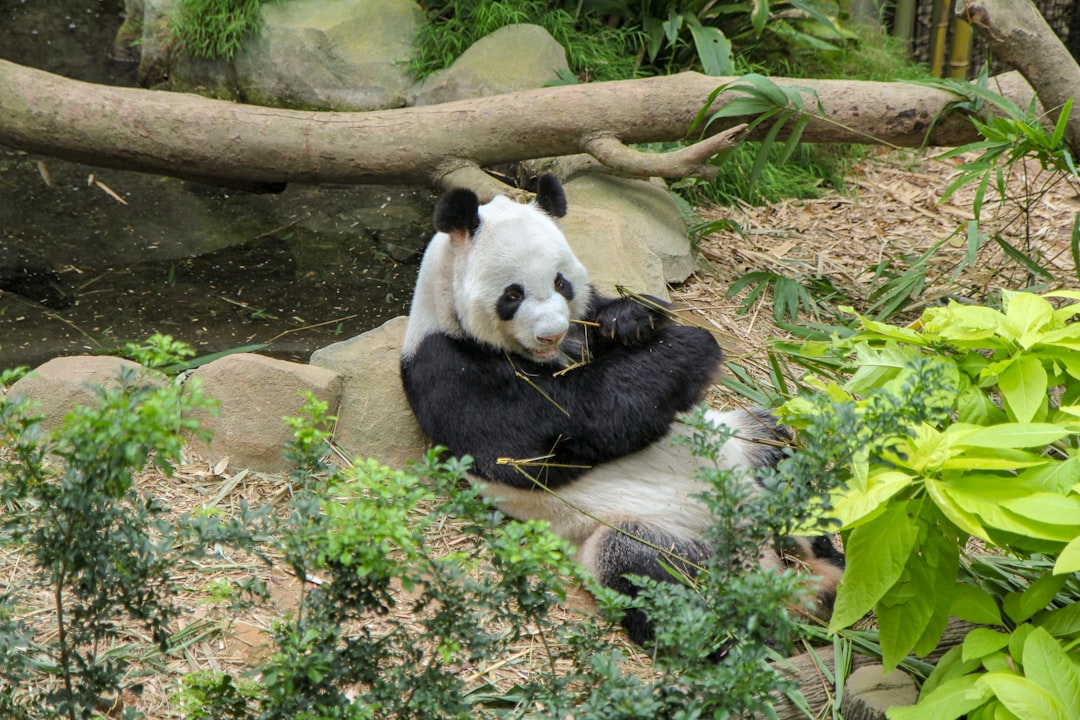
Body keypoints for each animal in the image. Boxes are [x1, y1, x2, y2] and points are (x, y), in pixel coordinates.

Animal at [399, 173, 843, 645]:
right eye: (513, 294)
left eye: (561, 283)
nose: (550, 334)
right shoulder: (446, 367)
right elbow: (545, 439)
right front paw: (689, 349)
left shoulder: (583, 321)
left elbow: (610, 319)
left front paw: (631, 318)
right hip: (647, 531)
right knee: (647, 572)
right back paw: (737, 630)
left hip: (744, 449)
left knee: (779, 451)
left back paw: (824, 559)